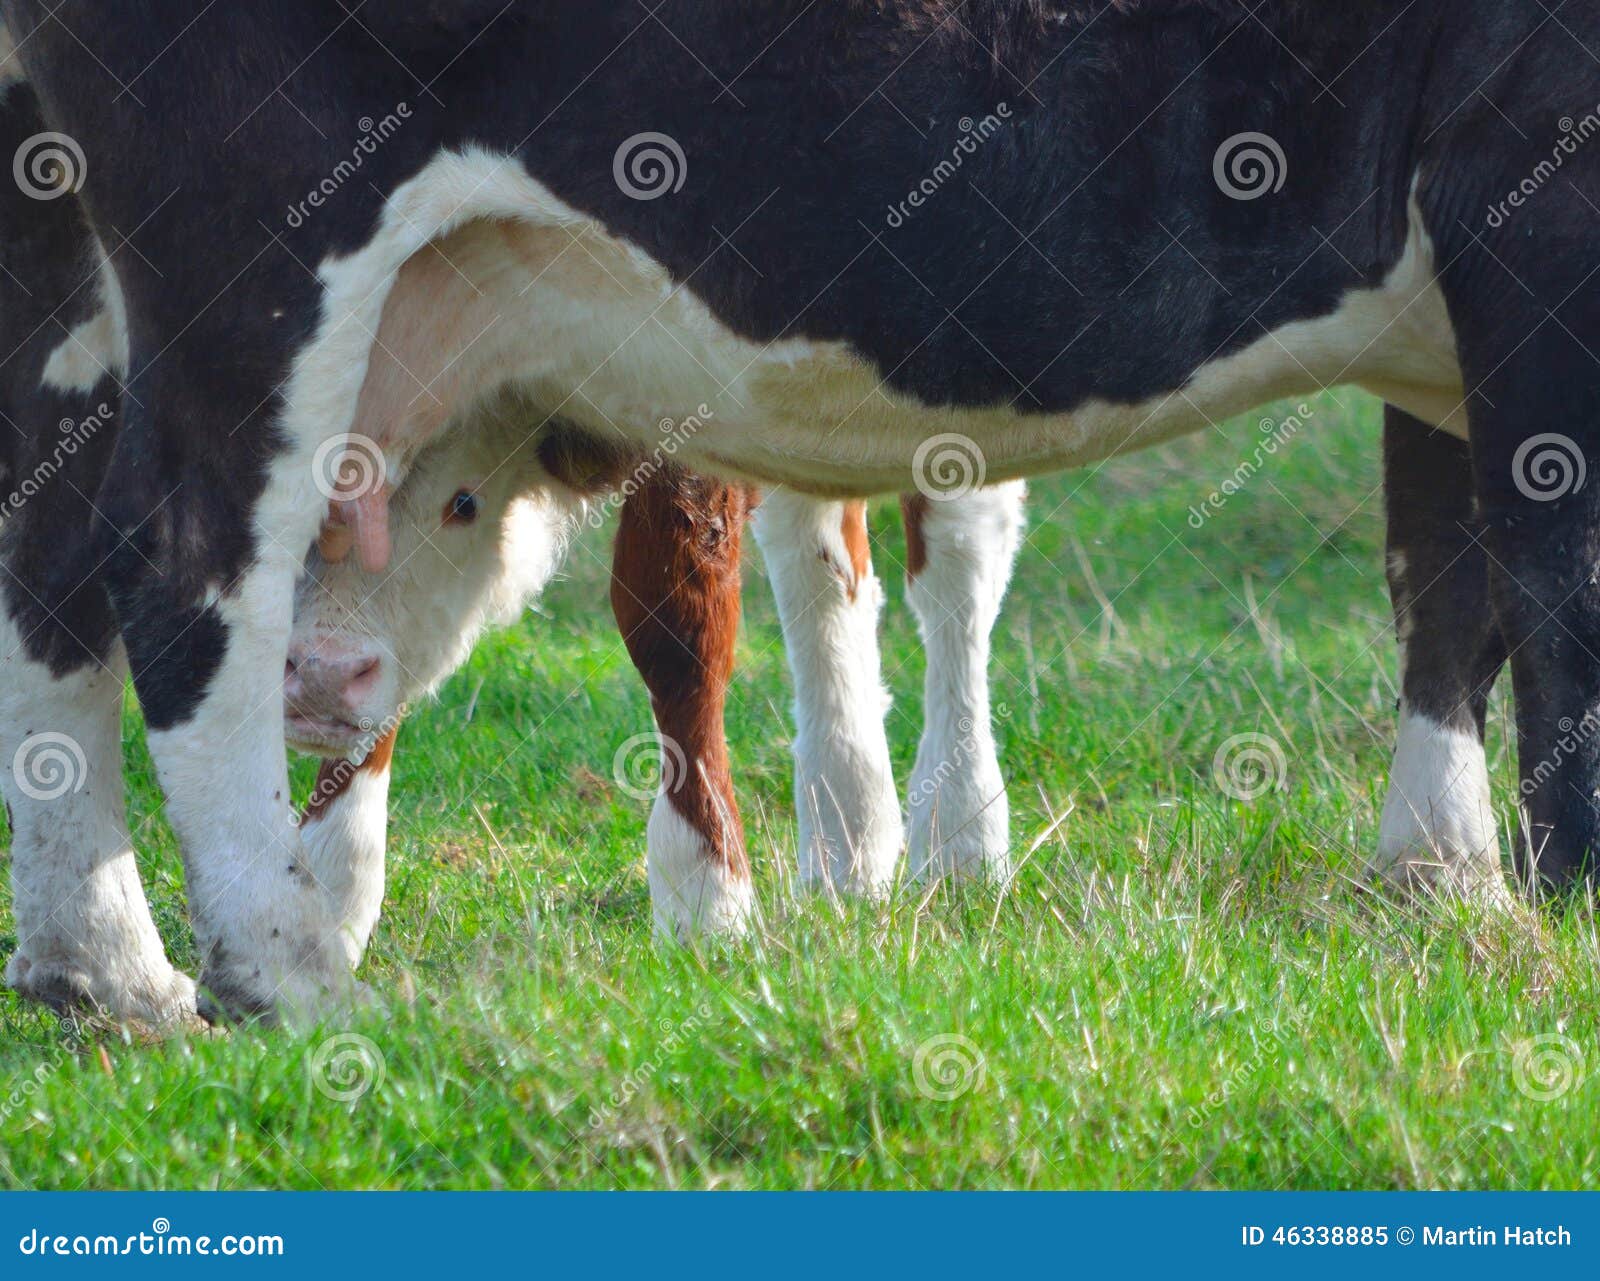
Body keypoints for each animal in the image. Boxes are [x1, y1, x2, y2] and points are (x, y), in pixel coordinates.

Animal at [4, 1, 1594, 1022]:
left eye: (457, 499)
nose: (323, 680)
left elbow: (1449, 572)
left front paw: (1441, 875)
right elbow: (1552, 581)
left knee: (51, 560)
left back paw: (108, 973)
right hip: (256, 221)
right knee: (176, 562)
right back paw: (289, 971)